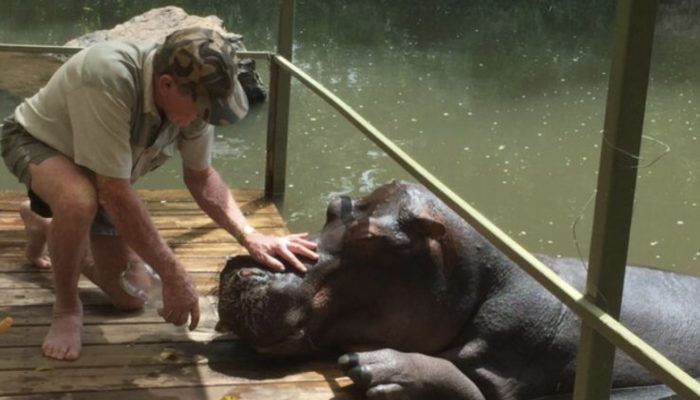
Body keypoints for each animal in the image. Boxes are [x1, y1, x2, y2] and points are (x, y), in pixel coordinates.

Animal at [216, 180, 700, 399]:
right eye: (334, 206)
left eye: (372, 239)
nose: (245, 268)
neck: (485, 279)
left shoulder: (507, 367)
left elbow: (461, 381)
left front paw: (371, 368)